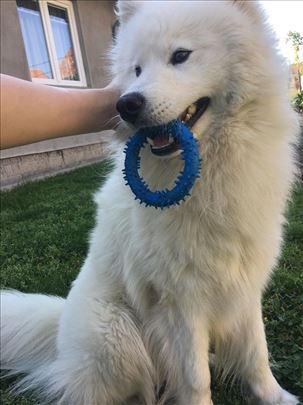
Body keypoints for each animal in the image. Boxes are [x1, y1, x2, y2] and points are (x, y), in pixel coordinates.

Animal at [0, 0, 302, 404]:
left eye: (181, 55)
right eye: (137, 70)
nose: (127, 103)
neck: (210, 173)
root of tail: (60, 328)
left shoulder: (244, 281)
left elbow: (256, 351)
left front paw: (274, 396)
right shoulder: (179, 301)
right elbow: (194, 377)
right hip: (118, 338)